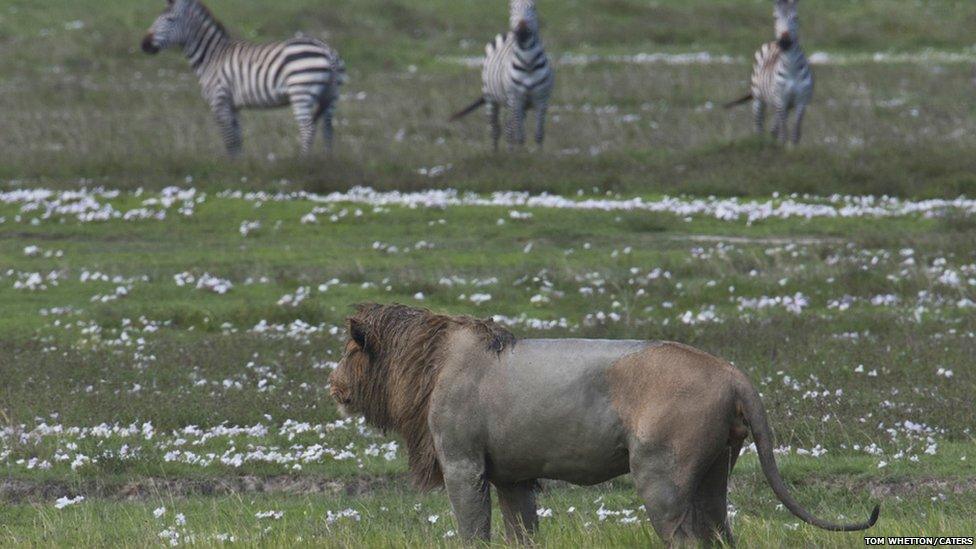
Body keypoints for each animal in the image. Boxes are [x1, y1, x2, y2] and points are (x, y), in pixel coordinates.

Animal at [142, 0, 345, 156]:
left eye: (169, 20)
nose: (144, 45)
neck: (212, 57)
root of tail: (327, 50)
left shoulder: (219, 101)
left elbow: (229, 139)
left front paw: (232, 170)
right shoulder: (233, 106)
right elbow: (237, 138)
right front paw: (241, 166)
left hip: (301, 92)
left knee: (308, 129)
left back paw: (303, 162)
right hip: (331, 95)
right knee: (328, 129)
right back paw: (326, 161)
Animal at [329, 303, 879, 545]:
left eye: (349, 350)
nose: (332, 384)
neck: (428, 363)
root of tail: (733, 373)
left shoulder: (464, 465)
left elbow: (473, 532)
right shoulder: (513, 477)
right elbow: (522, 531)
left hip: (660, 475)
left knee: (684, 536)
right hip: (716, 469)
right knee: (721, 531)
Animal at [450, 0, 555, 150]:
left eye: (533, 8)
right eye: (511, 8)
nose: (521, 31)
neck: (528, 64)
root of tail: (506, 35)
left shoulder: (541, 99)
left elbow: (538, 134)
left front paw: (539, 155)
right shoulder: (516, 99)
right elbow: (519, 136)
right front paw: (521, 155)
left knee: (508, 128)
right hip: (492, 99)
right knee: (496, 130)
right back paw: (497, 154)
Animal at [726, 0, 813, 145]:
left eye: (796, 17)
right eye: (775, 18)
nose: (784, 42)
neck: (791, 68)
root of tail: (771, 43)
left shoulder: (801, 101)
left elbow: (795, 131)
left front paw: (793, 148)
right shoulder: (780, 99)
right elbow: (784, 132)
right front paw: (783, 146)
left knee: (773, 128)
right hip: (759, 99)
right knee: (759, 126)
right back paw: (760, 142)